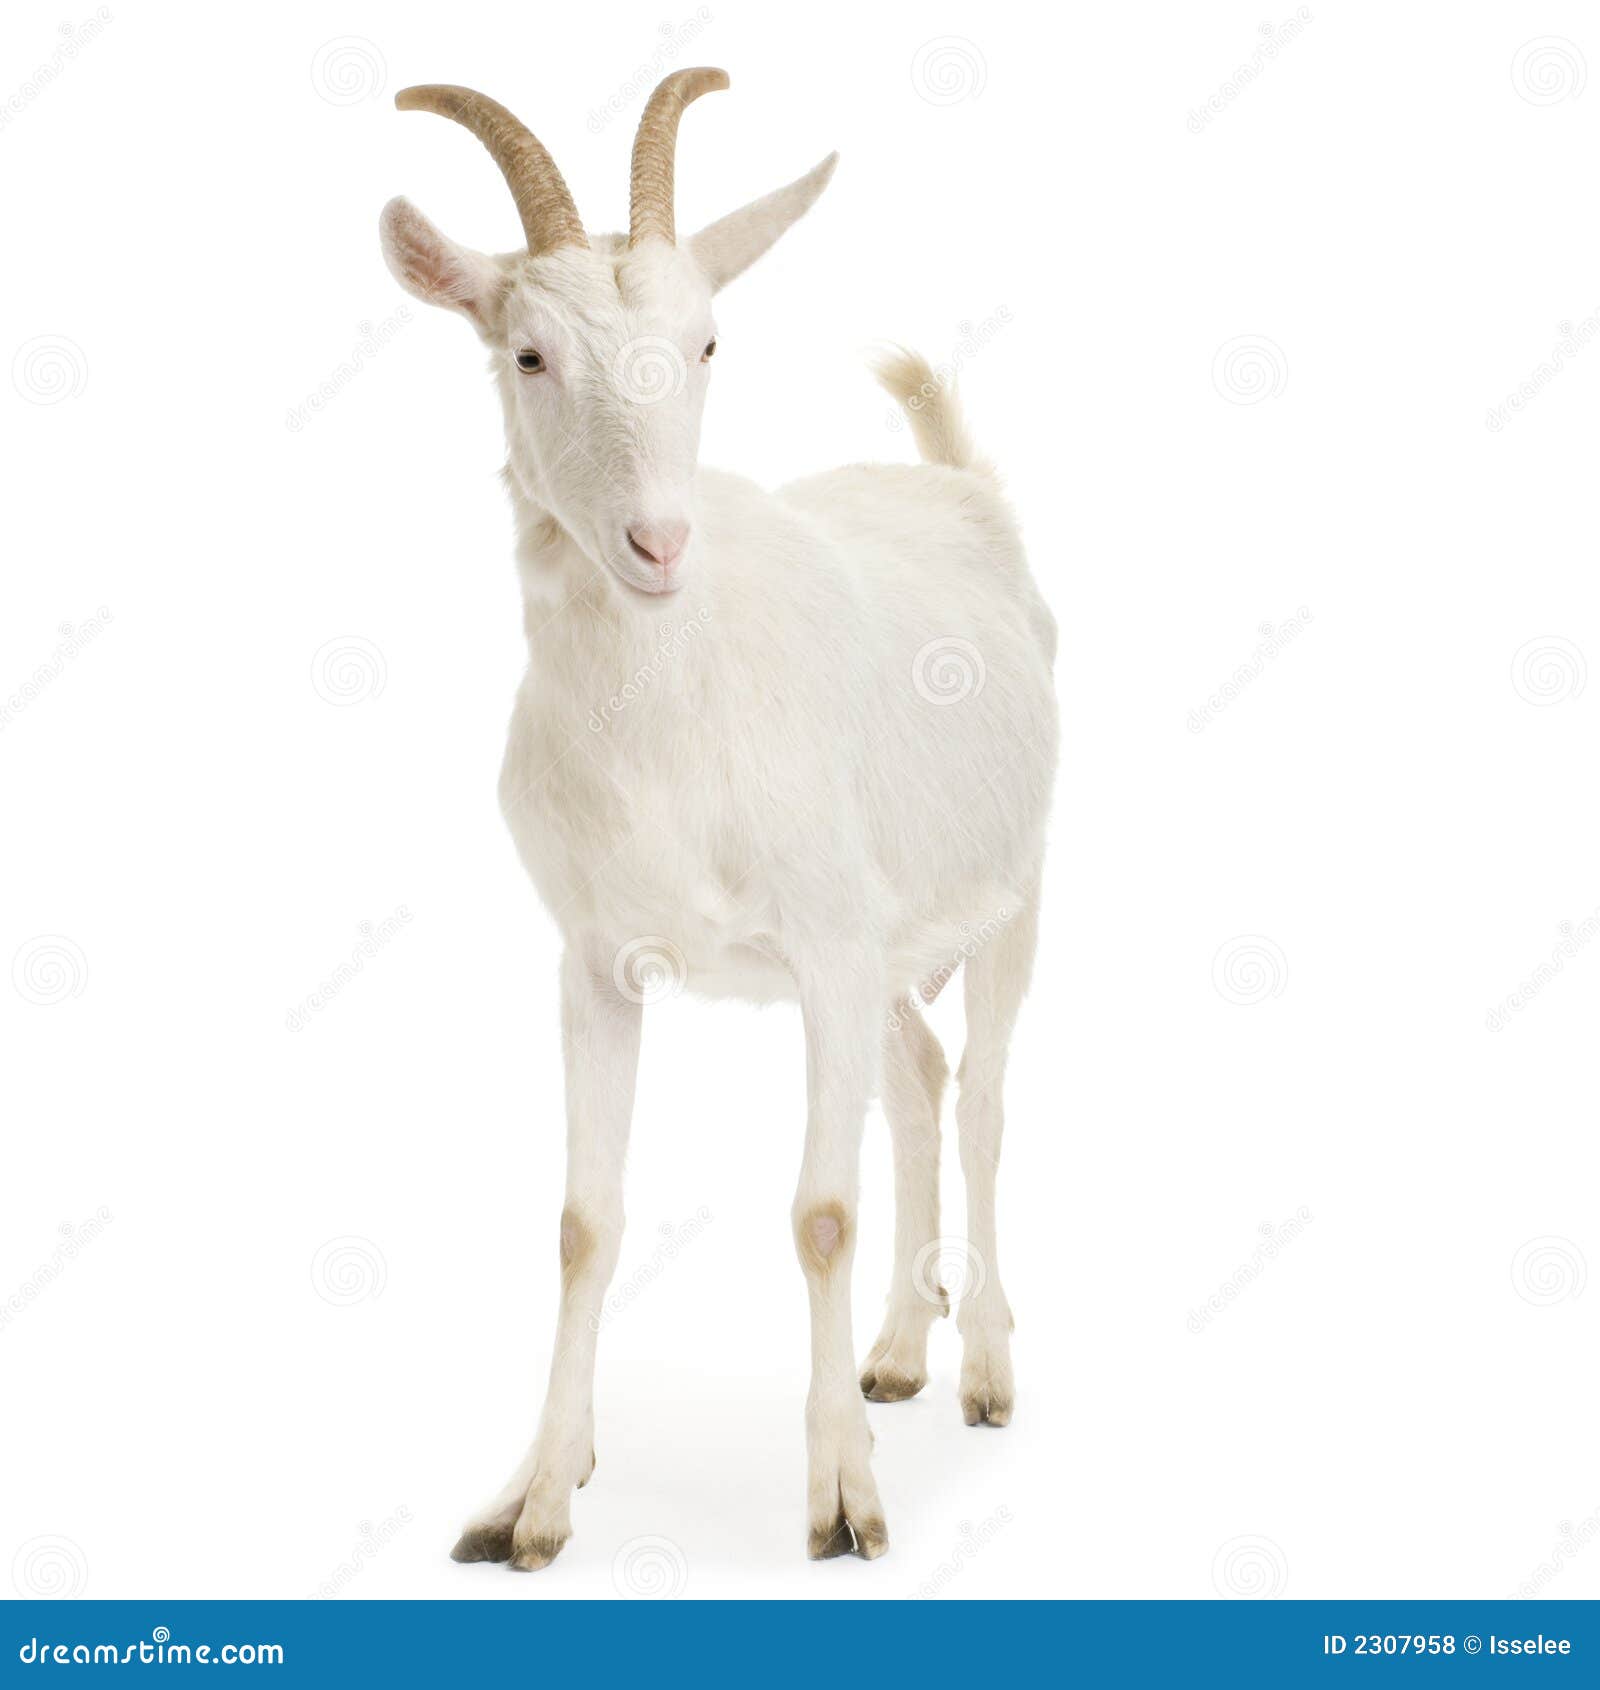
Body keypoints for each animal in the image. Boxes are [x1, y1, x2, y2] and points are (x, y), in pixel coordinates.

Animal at [380, 68, 1058, 1570]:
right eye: (527, 355)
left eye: (702, 342)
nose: (658, 542)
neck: (668, 723)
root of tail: (958, 485)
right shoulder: (595, 960)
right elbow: (583, 1222)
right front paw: (536, 1495)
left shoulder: (829, 947)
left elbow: (818, 1212)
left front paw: (843, 1499)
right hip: (886, 948)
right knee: (918, 1079)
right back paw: (898, 1352)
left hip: (1012, 886)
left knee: (984, 1097)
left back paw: (985, 1365)